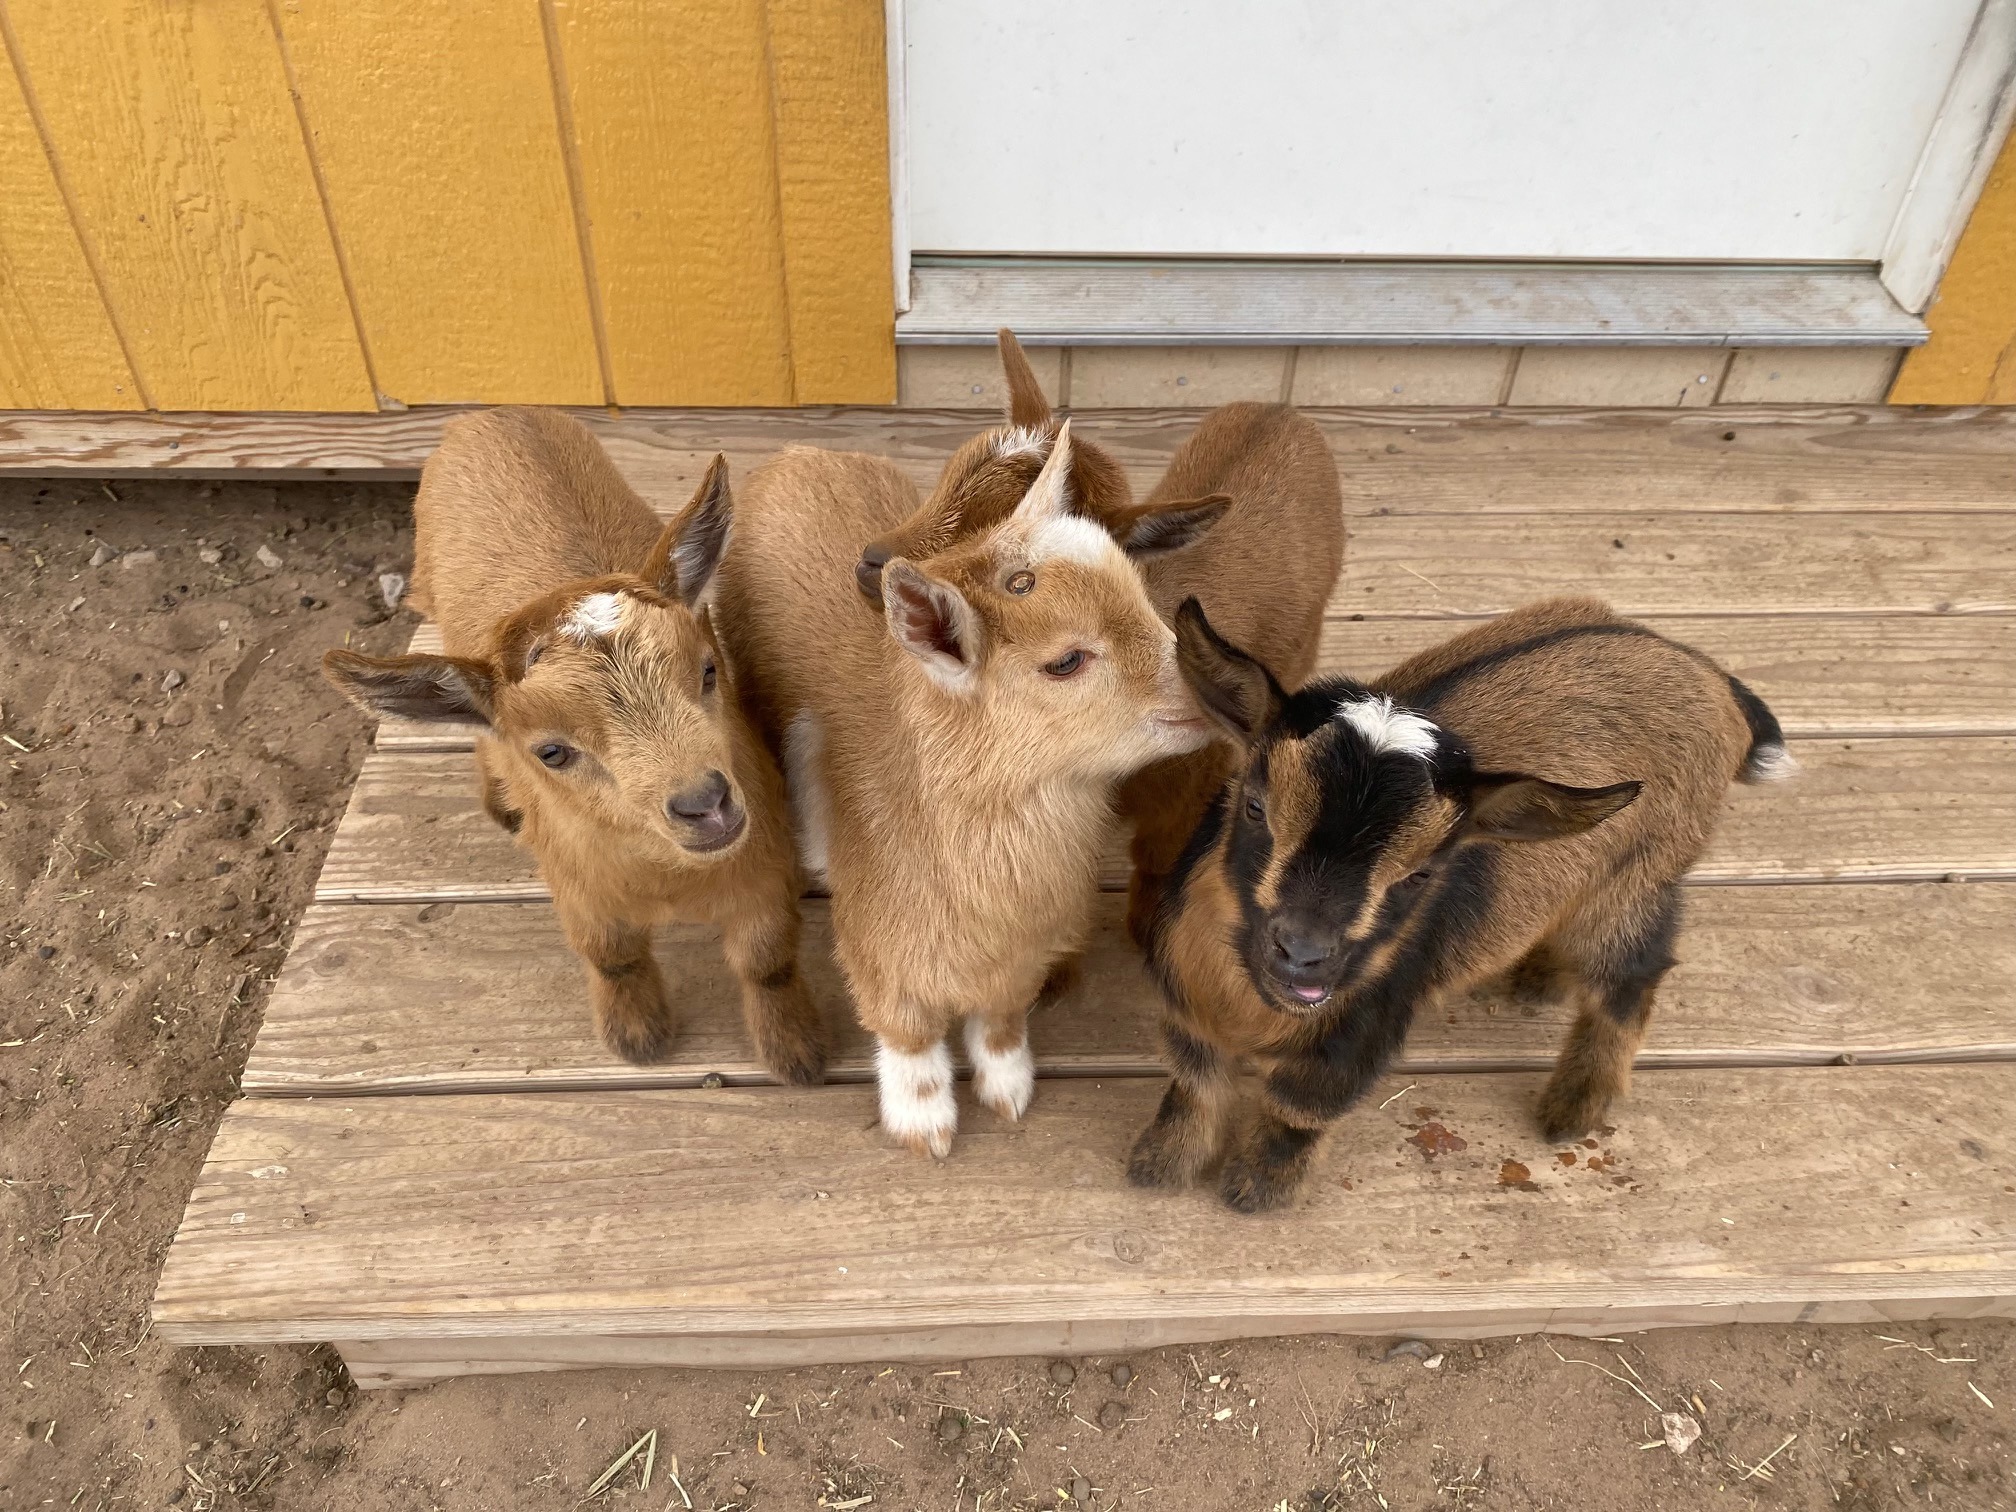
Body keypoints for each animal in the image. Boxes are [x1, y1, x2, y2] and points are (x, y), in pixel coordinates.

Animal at [321, 407, 826, 1082]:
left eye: (708, 671)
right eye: (552, 751)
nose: (706, 805)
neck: (666, 881)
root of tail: (486, 413)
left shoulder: (764, 860)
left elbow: (767, 959)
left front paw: (795, 1050)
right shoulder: (576, 881)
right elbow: (610, 953)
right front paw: (636, 1036)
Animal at [714, 422, 1221, 1156]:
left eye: (1140, 594)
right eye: (1066, 661)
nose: (1210, 686)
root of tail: (796, 455)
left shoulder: (1018, 963)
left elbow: (1003, 1023)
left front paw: (1008, 1092)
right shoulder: (881, 953)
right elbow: (909, 1034)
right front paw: (925, 1126)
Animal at [856, 330, 1344, 943]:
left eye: (1000, 527)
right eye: (948, 477)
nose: (869, 565)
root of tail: (1283, 411)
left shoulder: (1188, 792)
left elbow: (1156, 862)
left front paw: (1147, 932)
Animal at [1130, 595, 1796, 1212]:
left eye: (1422, 872)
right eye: (1253, 808)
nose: (1303, 955)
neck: (1248, 1002)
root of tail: (1705, 672)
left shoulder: (1362, 1028)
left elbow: (1299, 1107)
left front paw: (1259, 1189)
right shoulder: (1187, 1004)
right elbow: (1195, 1083)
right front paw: (1160, 1164)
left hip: (1639, 879)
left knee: (1632, 976)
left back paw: (1571, 1110)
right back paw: (1536, 981)